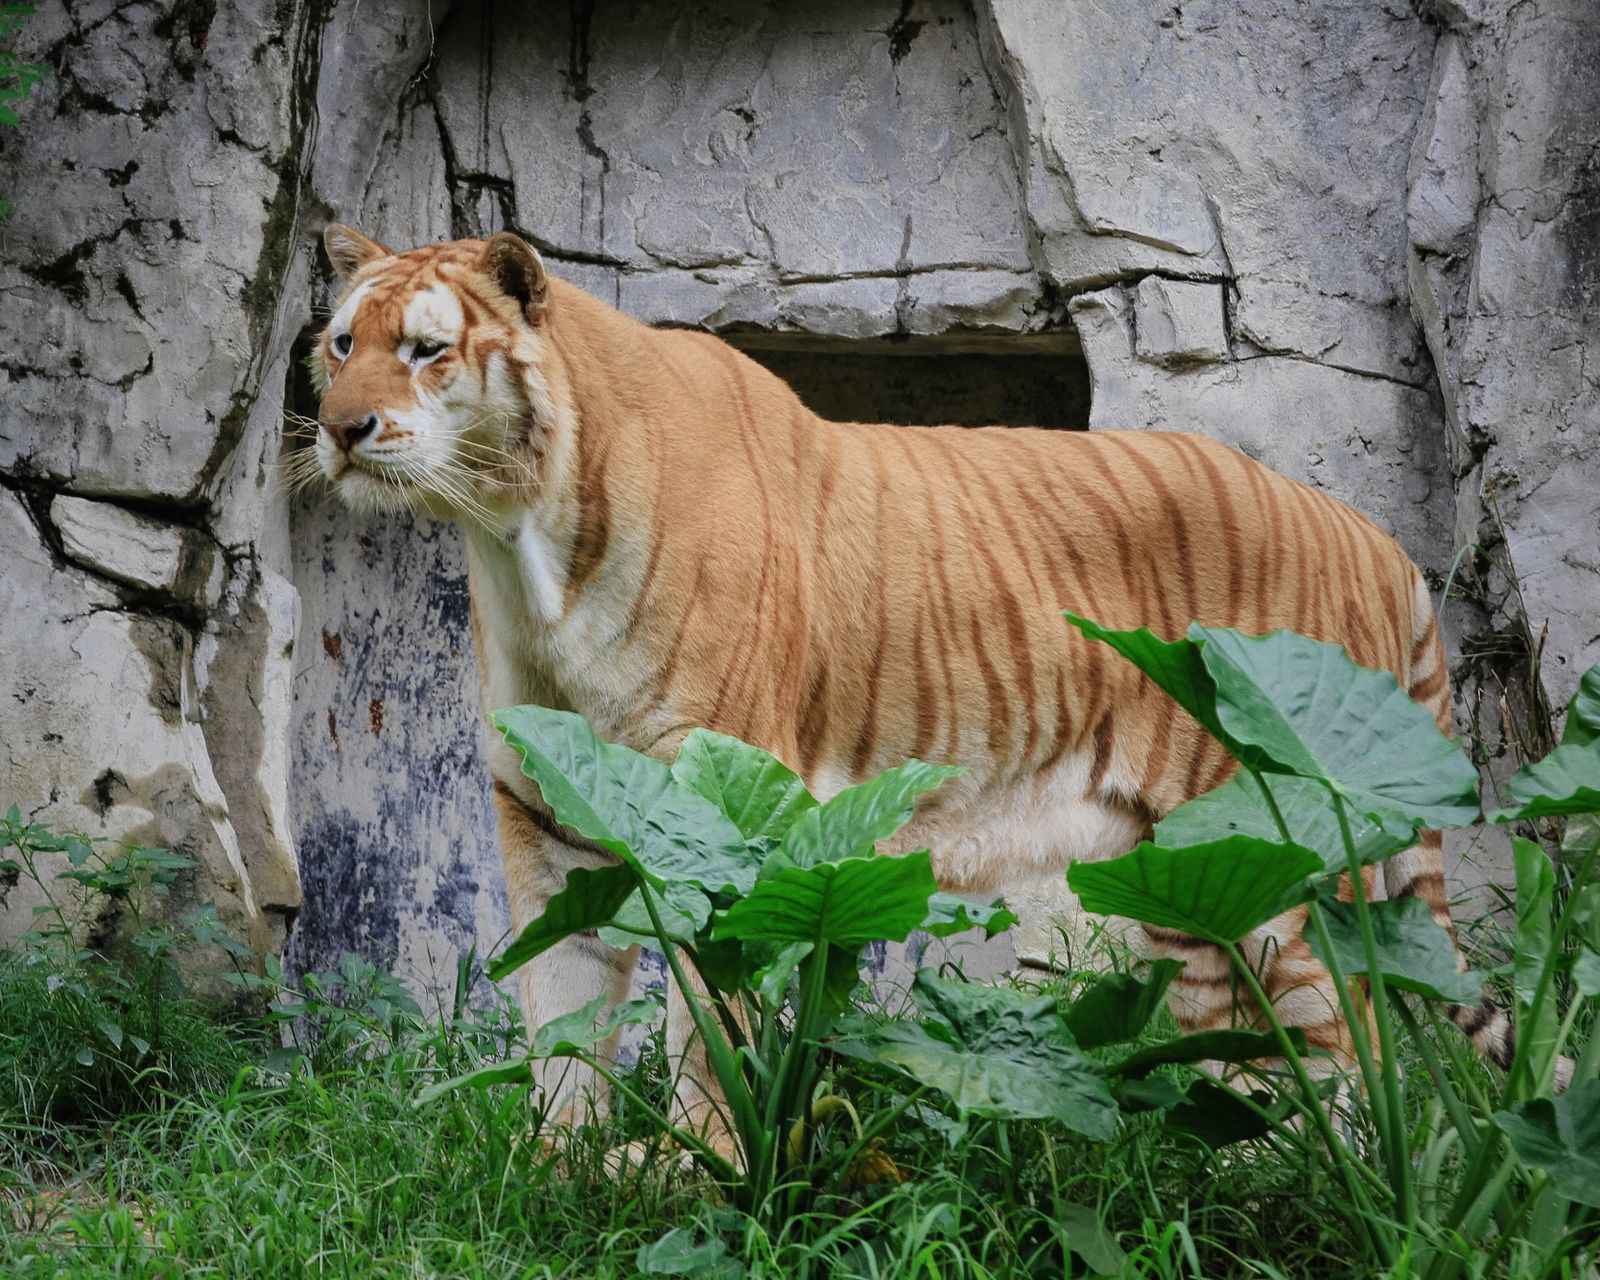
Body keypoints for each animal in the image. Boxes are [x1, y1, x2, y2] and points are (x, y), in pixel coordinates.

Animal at [306, 221, 1524, 1139]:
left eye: (424, 349)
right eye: (338, 342)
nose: (339, 429)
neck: (521, 543)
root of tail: (1372, 538)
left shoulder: (722, 823)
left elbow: (711, 1031)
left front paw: (697, 1172)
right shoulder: (550, 815)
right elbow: (560, 1024)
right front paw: (560, 1180)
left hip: (1275, 855)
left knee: (1345, 1046)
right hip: (1200, 883)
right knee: (1260, 1054)